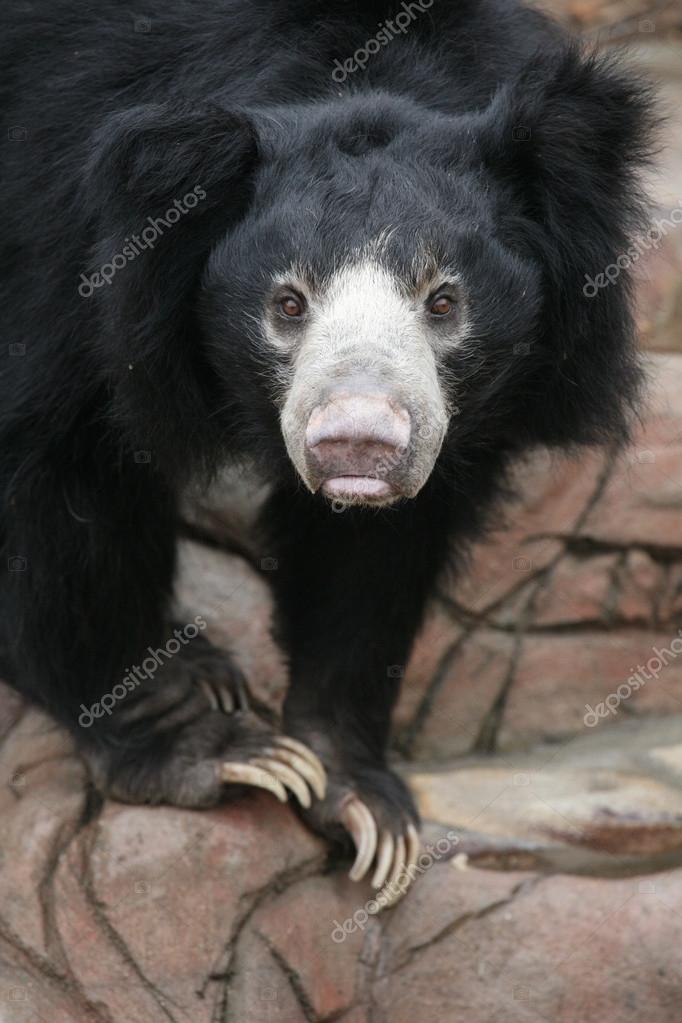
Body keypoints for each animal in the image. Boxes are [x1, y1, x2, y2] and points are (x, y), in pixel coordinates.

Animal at [0, 0, 653, 898]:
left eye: (443, 299)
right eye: (287, 302)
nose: (358, 443)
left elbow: (371, 557)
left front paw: (361, 803)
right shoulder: (65, 247)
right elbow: (60, 470)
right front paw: (212, 749)